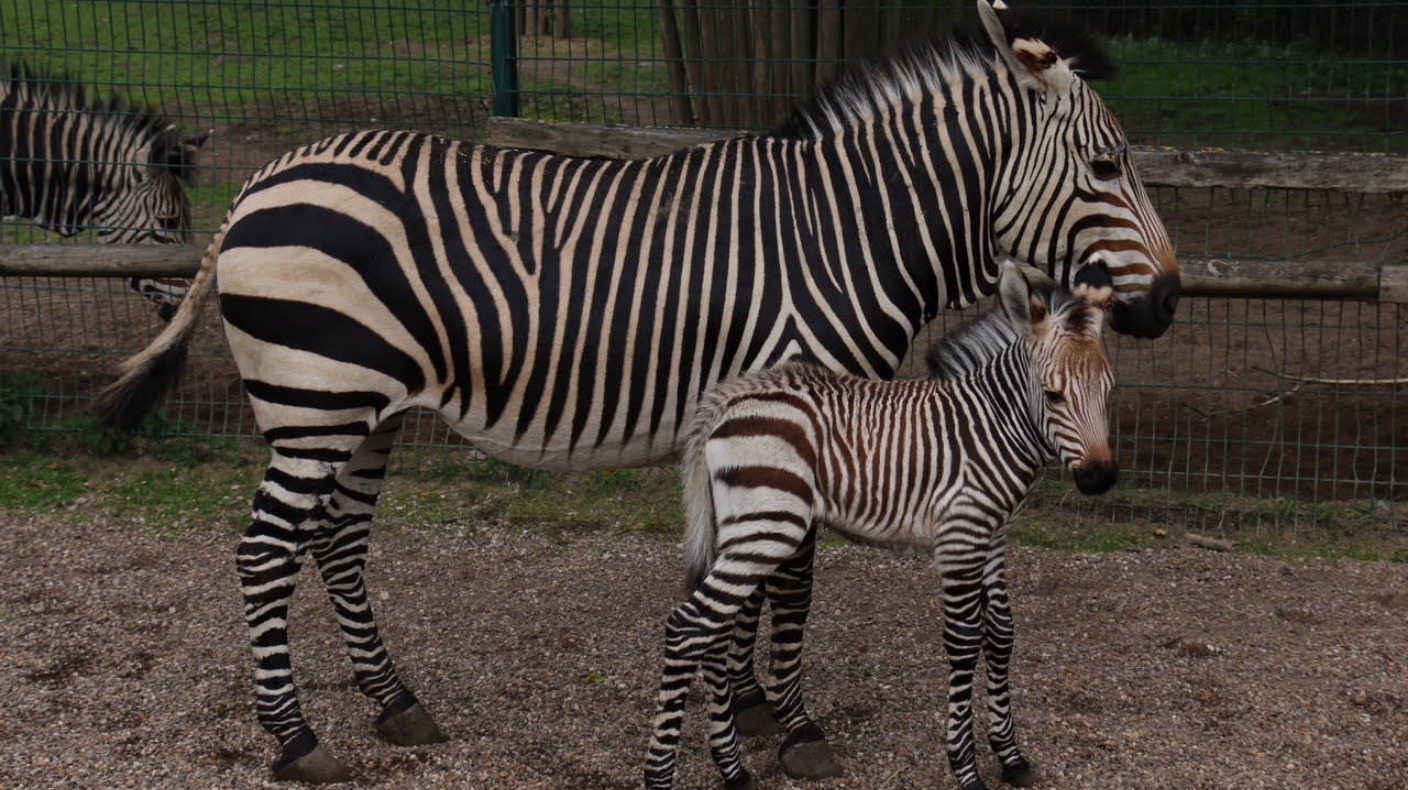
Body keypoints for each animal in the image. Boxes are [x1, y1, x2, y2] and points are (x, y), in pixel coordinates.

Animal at [645, 261, 1117, 790]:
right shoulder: (960, 537)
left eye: (1109, 391)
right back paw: (661, 773)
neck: (992, 425)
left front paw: (1011, 754)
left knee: (714, 630)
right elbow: (964, 640)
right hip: (767, 527)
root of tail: (727, 399)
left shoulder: (994, 537)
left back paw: (732, 768)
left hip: (742, 529)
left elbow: (1001, 633)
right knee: (688, 626)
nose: (1100, 478)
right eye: (1053, 394)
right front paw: (966, 766)